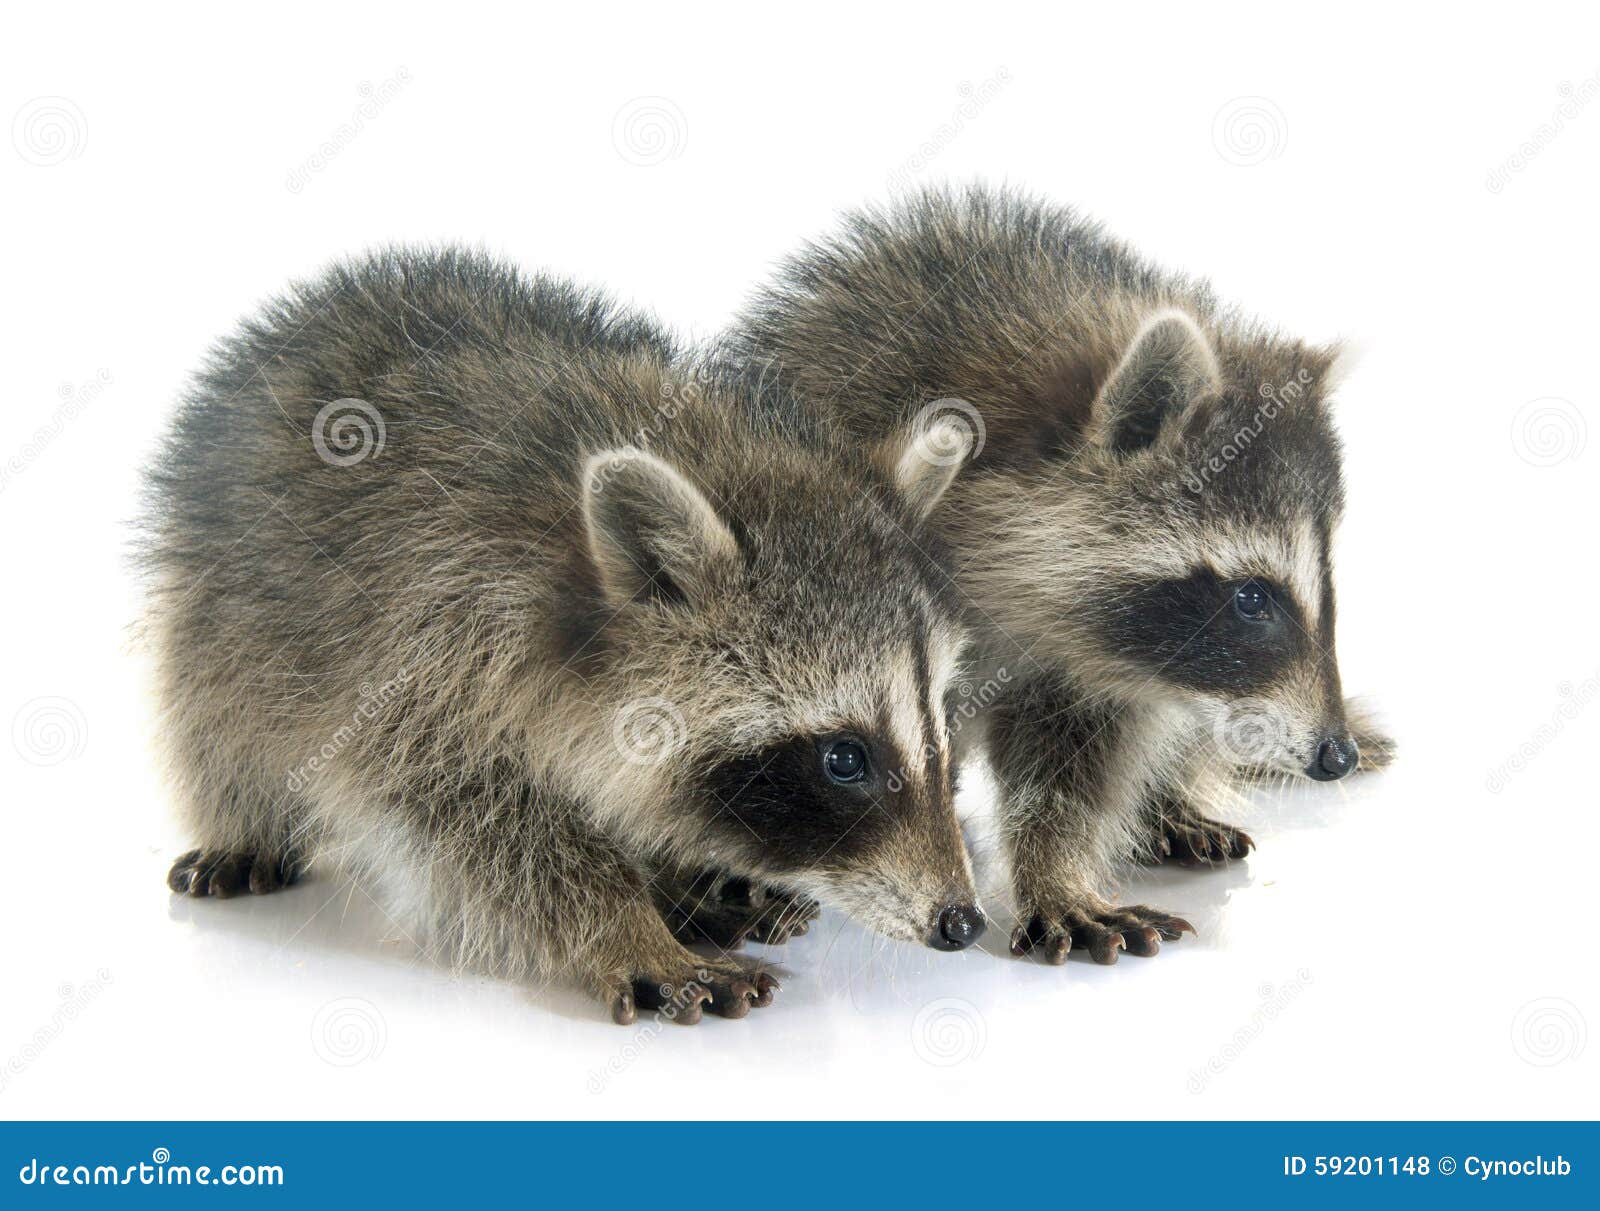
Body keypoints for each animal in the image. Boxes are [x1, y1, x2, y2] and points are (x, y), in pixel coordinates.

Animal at [140, 248, 985, 1024]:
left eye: (944, 722)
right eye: (845, 758)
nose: (963, 920)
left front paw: (676, 873)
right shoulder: (433, 642)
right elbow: (476, 823)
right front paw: (624, 924)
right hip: (219, 605)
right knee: (217, 717)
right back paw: (243, 817)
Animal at [723, 186, 1392, 964]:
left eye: (1329, 584)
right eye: (1253, 599)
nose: (1336, 753)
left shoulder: (1096, 660)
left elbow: (1074, 766)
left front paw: (1058, 873)